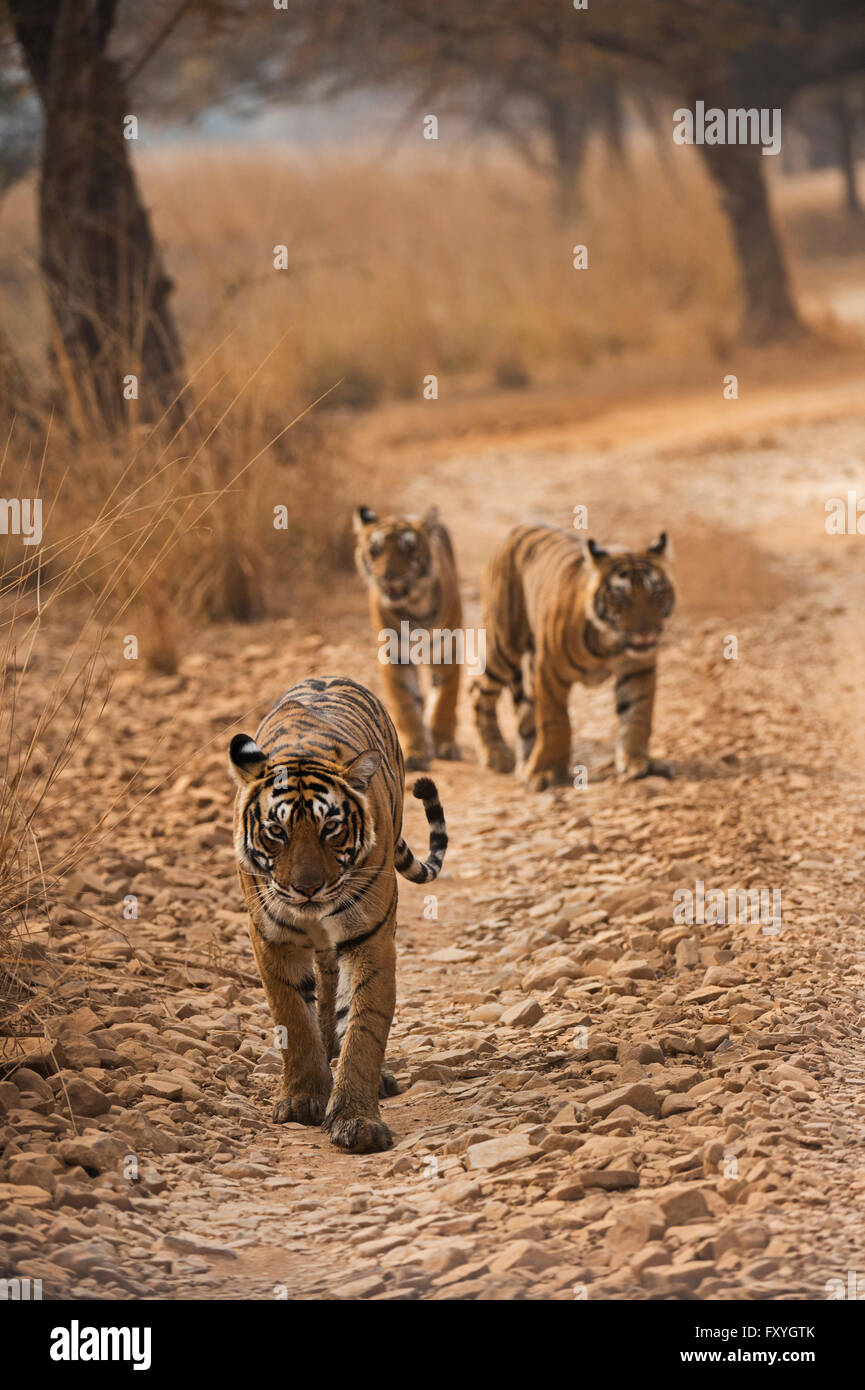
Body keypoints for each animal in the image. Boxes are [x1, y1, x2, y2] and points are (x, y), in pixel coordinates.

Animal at [229, 676, 447, 1154]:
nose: (306, 888)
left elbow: (365, 1027)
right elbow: (293, 1018)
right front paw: (303, 1098)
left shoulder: (370, 938)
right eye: (276, 832)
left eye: (331, 828)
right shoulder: (272, 938)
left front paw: (356, 1120)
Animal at [353, 505, 462, 770]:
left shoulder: (448, 650)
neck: (415, 607)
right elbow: (407, 705)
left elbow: (445, 698)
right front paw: (416, 751)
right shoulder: (394, 656)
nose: (387, 576)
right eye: (375, 551)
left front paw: (444, 744)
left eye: (408, 549)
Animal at [471, 524, 675, 791]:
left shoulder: (638, 668)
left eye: (656, 595)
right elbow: (555, 722)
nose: (646, 632)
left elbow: (638, 714)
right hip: (503, 647)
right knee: (478, 690)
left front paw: (635, 761)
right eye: (620, 598)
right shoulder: (549, 671)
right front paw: (545, 771)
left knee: (524, 713)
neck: (609, 643)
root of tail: (517, 529)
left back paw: (524, 760)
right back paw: (497, 754)